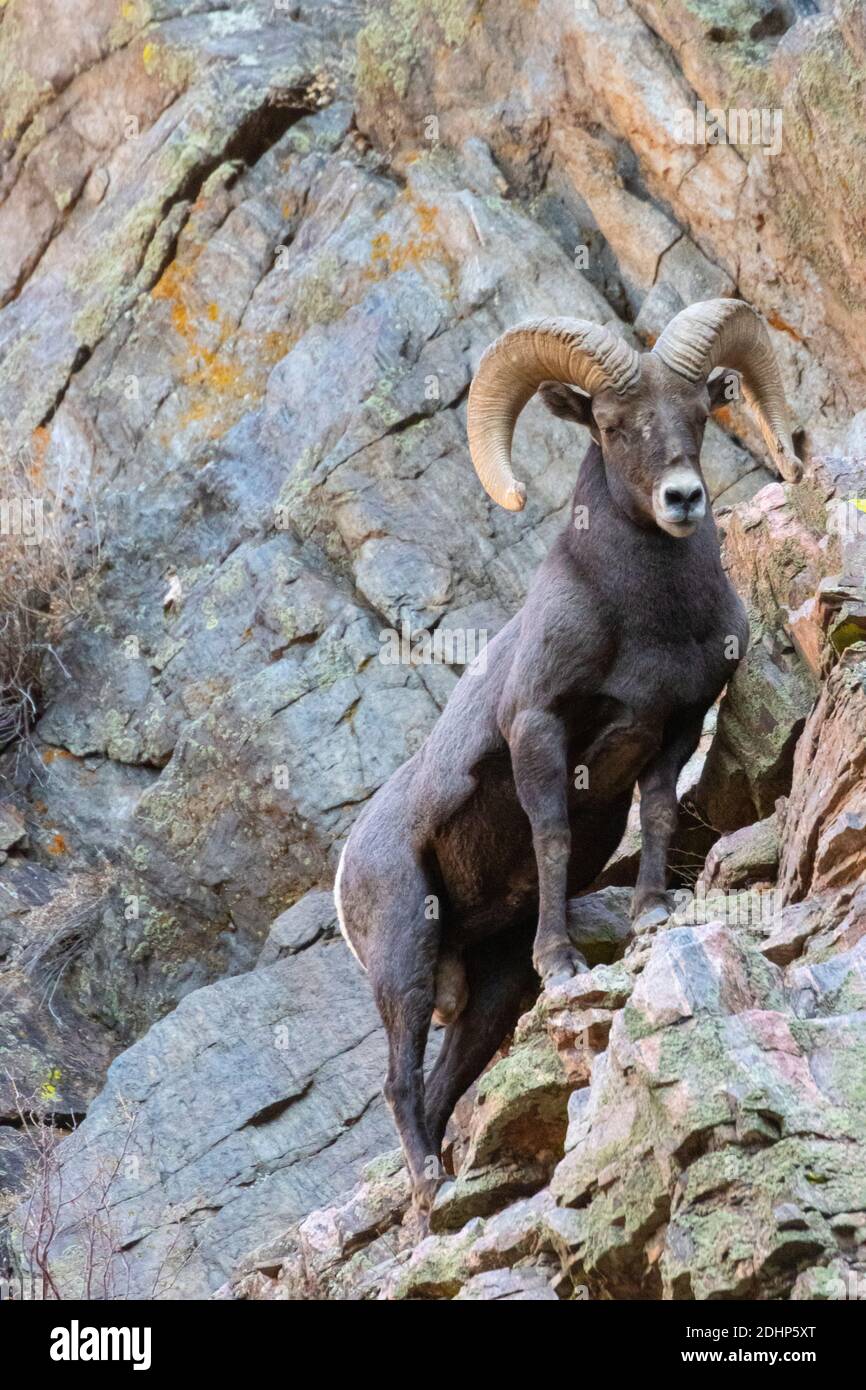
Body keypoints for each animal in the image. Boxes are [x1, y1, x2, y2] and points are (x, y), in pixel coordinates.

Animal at [334, 298, 800, 1211]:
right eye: (614, 426)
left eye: (699, 415)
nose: (682, 498)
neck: (648, 616)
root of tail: (345, 873)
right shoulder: (540, 732)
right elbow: (549, 837)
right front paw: (560, 962)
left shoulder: (677, 725)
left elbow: (658, 813)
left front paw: (652, 911)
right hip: (405, 955)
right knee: (400, 1085)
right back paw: (431, 1191)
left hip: (485, 993)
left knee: (439, 1090)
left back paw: (440, 1198)